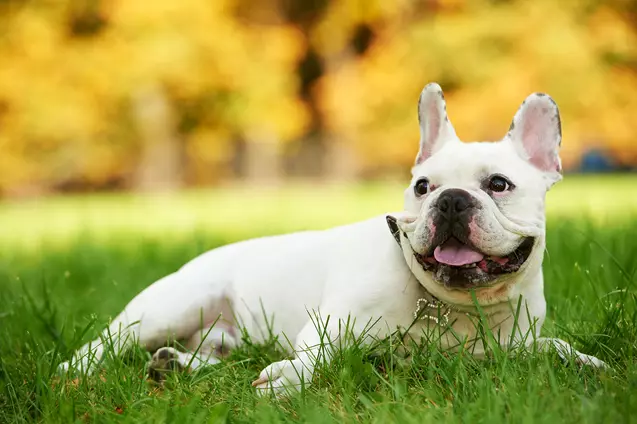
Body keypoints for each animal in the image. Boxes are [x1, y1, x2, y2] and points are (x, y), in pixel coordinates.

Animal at [60, 83, 608, 394]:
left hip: (221, 338)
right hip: (169, 307)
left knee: (214, 358)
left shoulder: (517, 345)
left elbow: (555, 346)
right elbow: (319, 355)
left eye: (498, 184)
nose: (451, 199)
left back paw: (174, 366)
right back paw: (74, 371)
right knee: (105, 343)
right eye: (422, 187)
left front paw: (591, 363)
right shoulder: (330, 328)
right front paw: (288, 380)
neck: (449, 305)